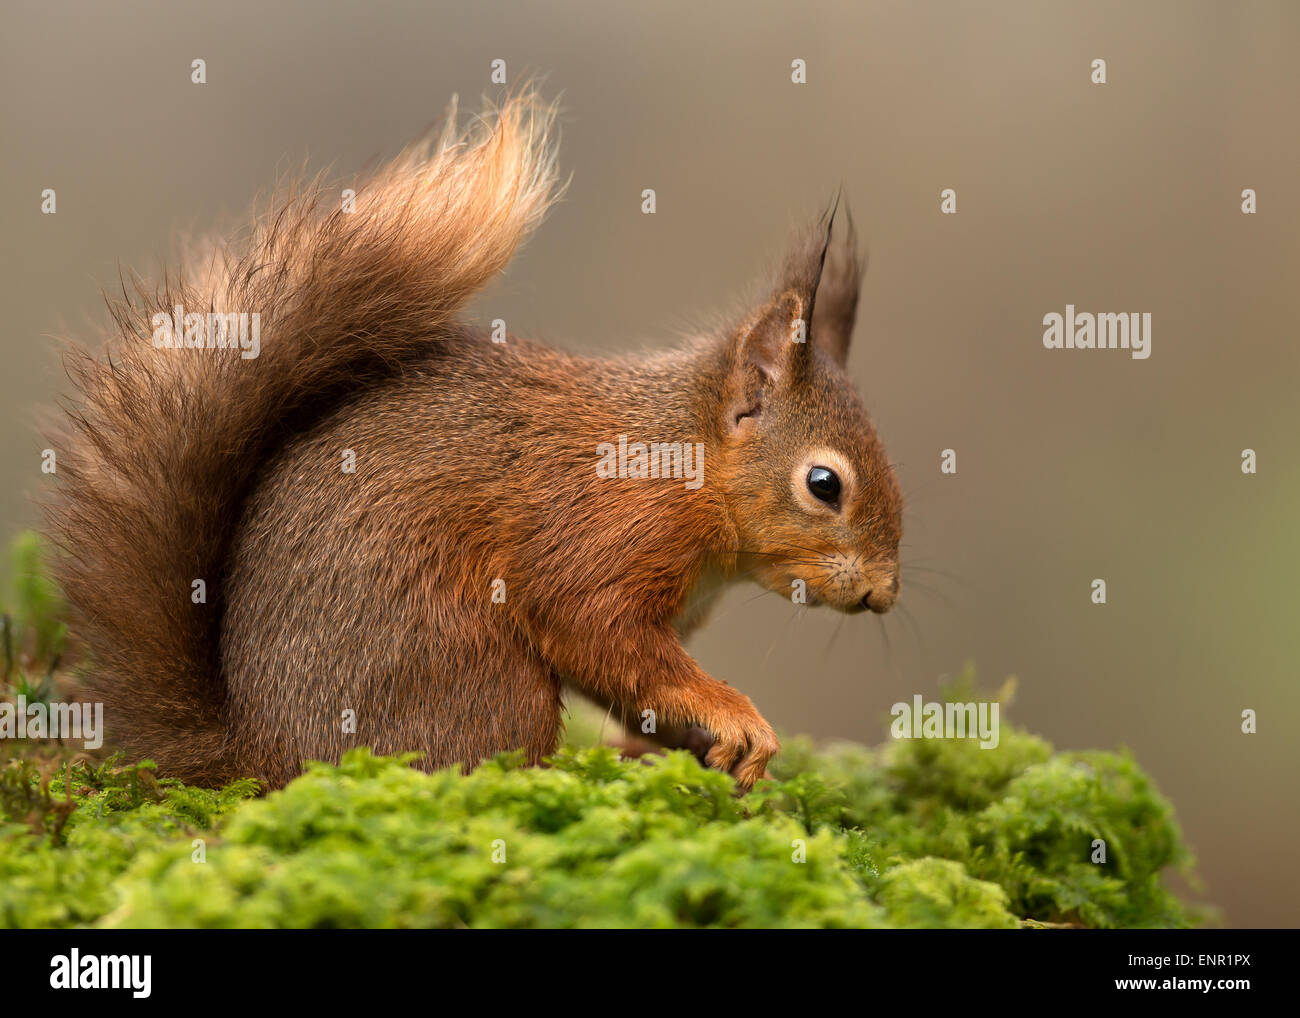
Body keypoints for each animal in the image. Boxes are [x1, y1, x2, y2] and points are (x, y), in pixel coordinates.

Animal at [45, 90, 903, 791]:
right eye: (824, 485)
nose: (882, 595)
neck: (681, 461)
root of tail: (256, 756)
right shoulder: (604, 533)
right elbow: (597, 631)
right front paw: (733, 715)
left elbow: (629, 687)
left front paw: (690, 745)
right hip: (469, 664)